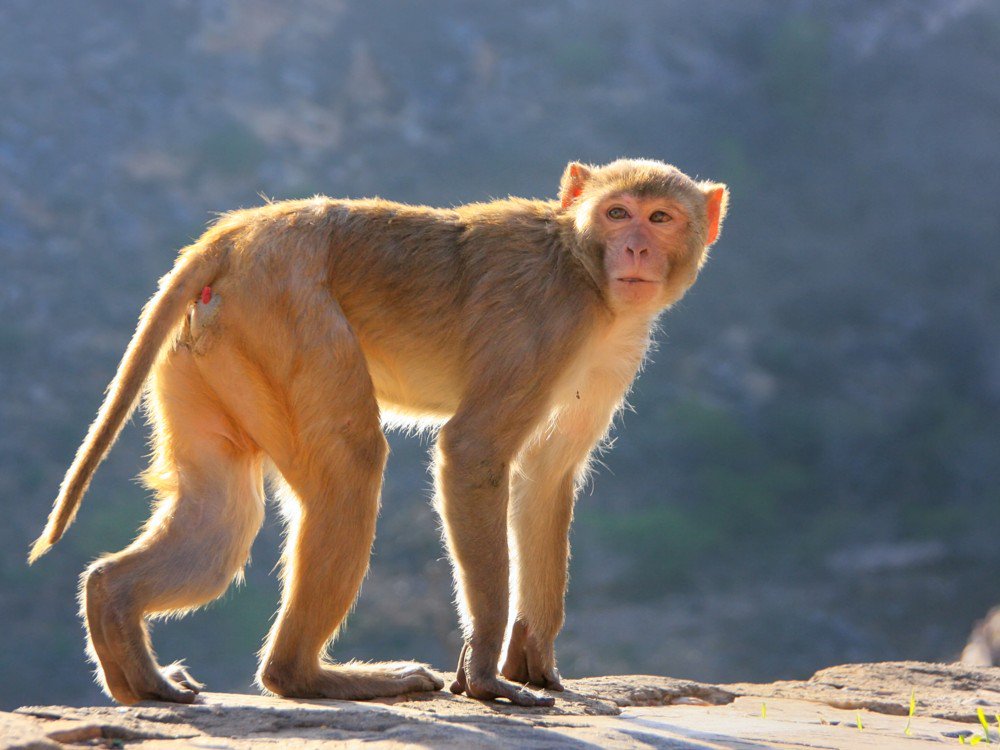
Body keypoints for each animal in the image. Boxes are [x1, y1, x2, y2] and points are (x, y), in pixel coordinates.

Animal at [29, 158, 728, 708]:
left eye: (660, 218)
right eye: (617, 213)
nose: (635, 249)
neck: (584, 271)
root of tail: (238, 233)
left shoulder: (611, 354)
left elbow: (547, 477)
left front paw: (534, 658)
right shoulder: (549, 322)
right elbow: (473, 453)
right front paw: (485, 675)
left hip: (214, 349)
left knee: (221, 511)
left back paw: (122, 627)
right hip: (287, 317)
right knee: (351, 467)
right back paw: (309, 675)